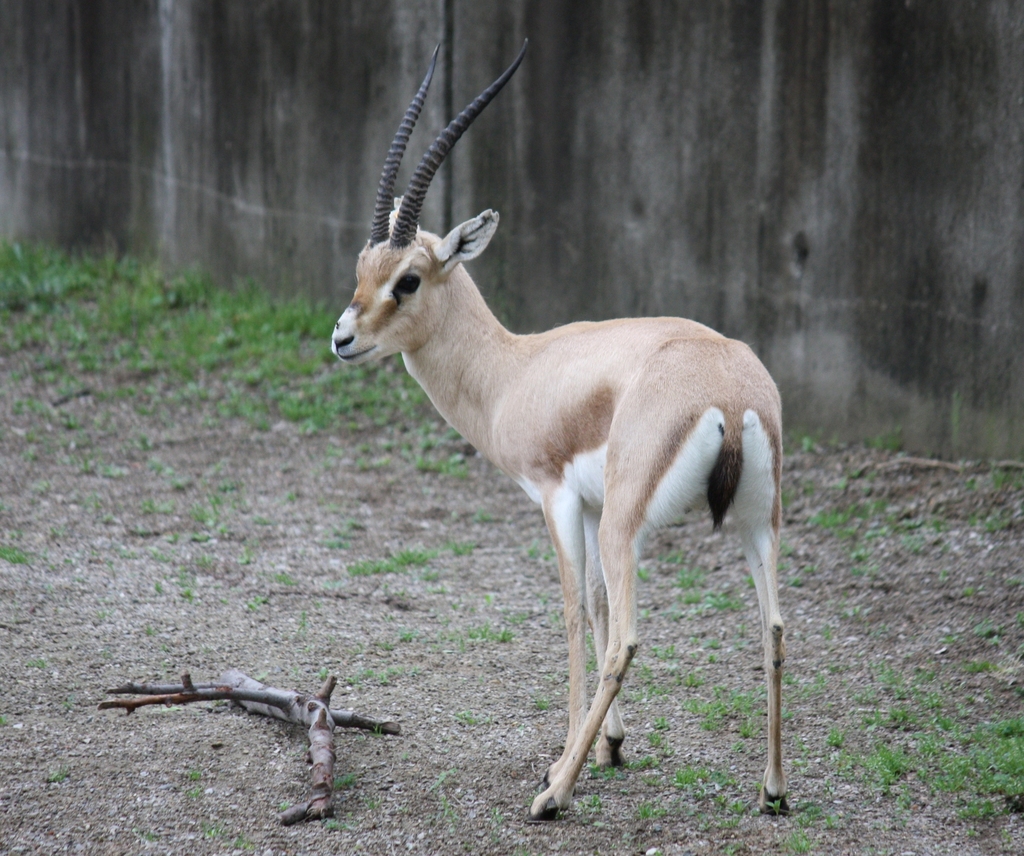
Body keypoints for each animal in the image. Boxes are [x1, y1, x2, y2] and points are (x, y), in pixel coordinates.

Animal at [332, 42, 788, 821]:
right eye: (364, 268)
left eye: (409, 280)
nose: (343, 338)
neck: (516, 369)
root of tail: (731, 389)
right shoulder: (595, 502)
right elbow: (596, 604)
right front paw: (612, 745)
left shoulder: (558, 498)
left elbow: (576, 612)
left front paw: (569, 758)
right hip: (756, 520)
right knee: (774, 627)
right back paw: (774, 791)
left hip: (631, 524)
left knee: (627, 640)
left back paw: (553, 796)